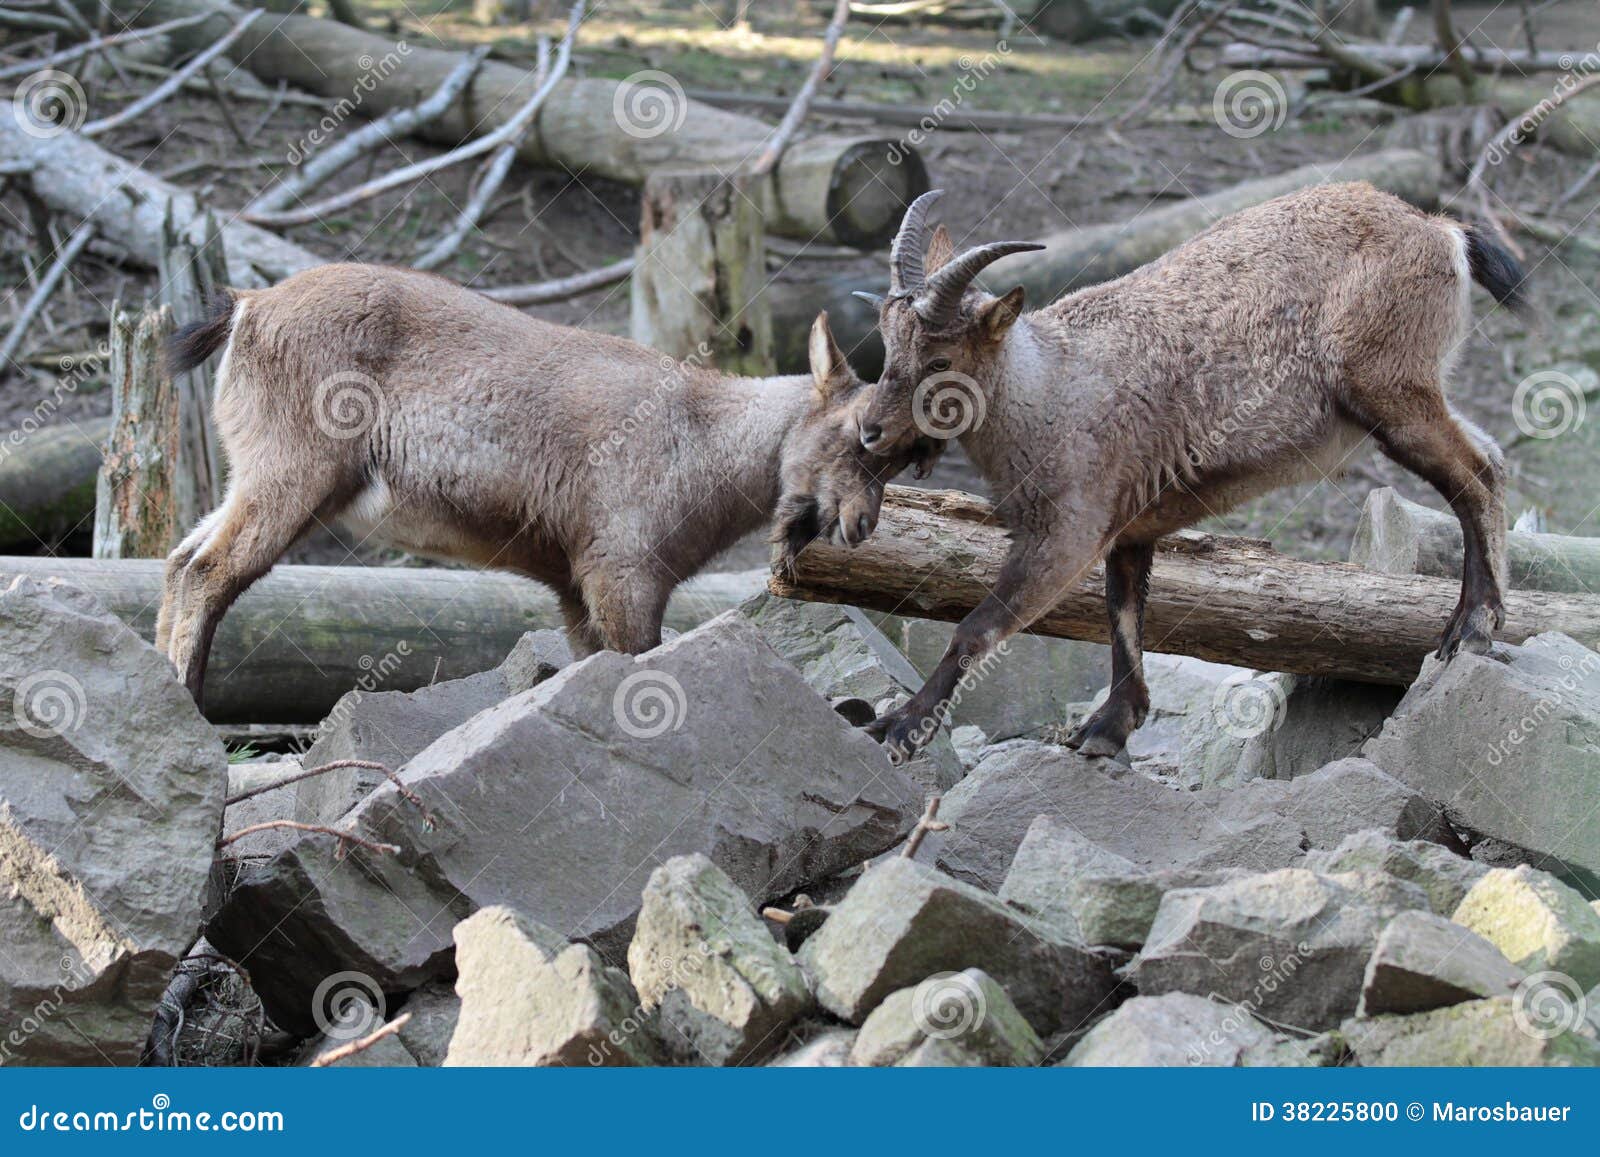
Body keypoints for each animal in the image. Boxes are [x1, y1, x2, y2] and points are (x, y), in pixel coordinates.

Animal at [158, 263, 924, 708]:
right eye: (862, 433)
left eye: (906, 457)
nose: (861, 524)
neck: (703, 433)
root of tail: (251, 306)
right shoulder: (623, 576)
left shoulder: (576, 588)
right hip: (292, 471)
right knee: (209, 571)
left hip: (256, 473)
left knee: (177, 558)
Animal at [848, 183, 1529, 761]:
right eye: (889, 344)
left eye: (941, 360)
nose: (870, 432)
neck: (1046, 390)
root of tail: (1440, 229)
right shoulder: (1130, 527)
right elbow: (1123, 614)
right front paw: (1109, 726)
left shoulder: (1067, 533)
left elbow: (976, 629)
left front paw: (898, 729)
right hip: (1413, 390)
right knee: (1492, 456)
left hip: (1389, 391)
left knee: (1474, 476)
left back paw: (1472, 628)